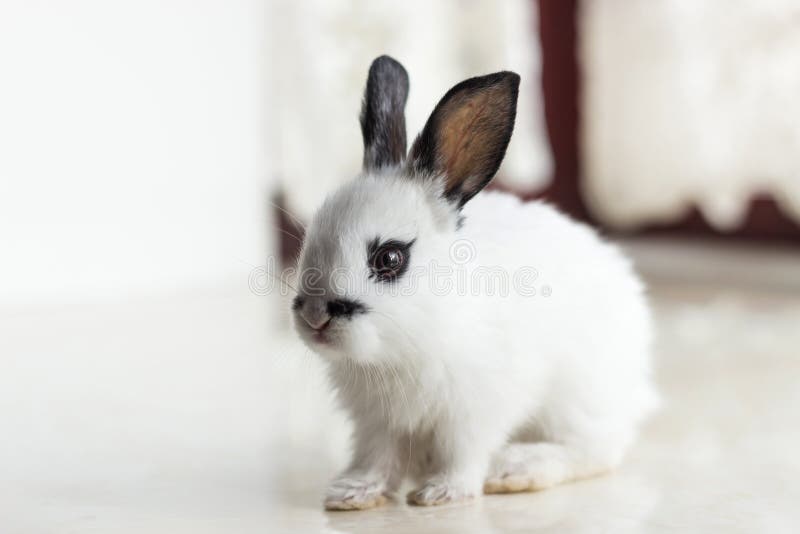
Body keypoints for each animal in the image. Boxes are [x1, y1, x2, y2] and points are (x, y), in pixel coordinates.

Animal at [291, 55, 658, 510]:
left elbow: (463, 454)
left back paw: (516, 467)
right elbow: (376, 457)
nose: (314, 316)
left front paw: (441, 493)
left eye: (390, 258)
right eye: (309, 238)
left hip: (578, 399)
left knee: (595, 450)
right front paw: (353, 494)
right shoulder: (377, 422)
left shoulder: (473, 412)